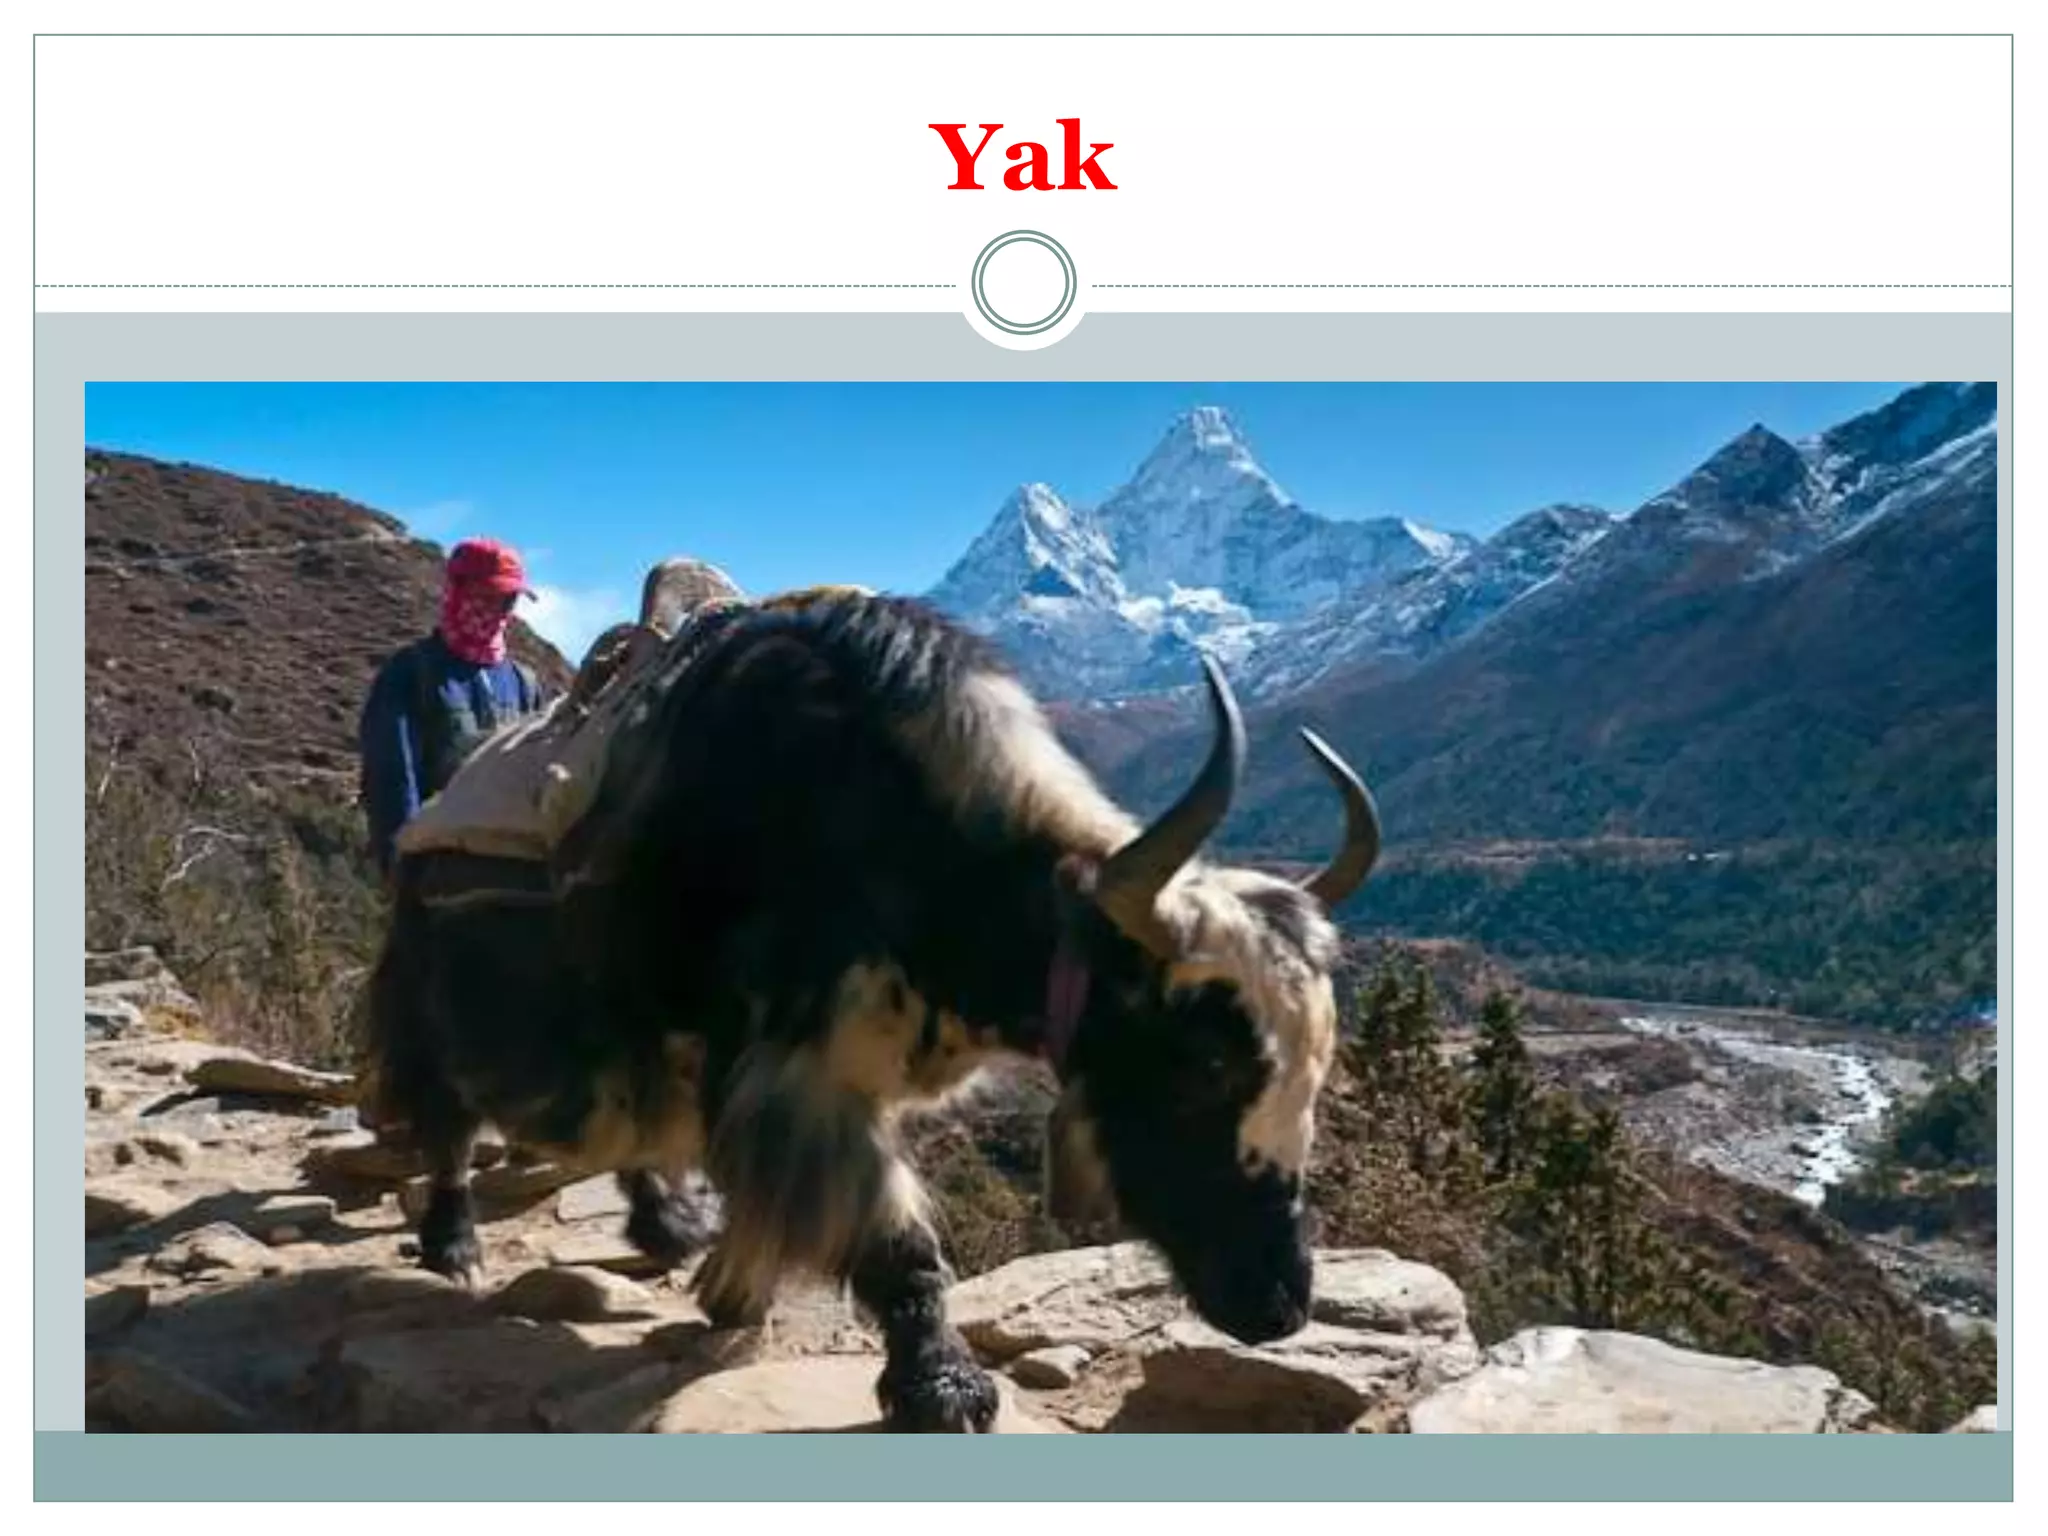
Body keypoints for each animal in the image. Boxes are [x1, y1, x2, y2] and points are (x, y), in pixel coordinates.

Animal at [361, 589, 1380, 1432]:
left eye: (1317, 1074)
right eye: (1204, 1063)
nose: (1278, 1306)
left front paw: (731, 1289)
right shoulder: (810, 1073)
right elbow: (897, 1235)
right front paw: (945, 1390)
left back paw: (668, 1224)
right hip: (438, 996)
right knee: (446, 1114)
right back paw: (454, 1244)